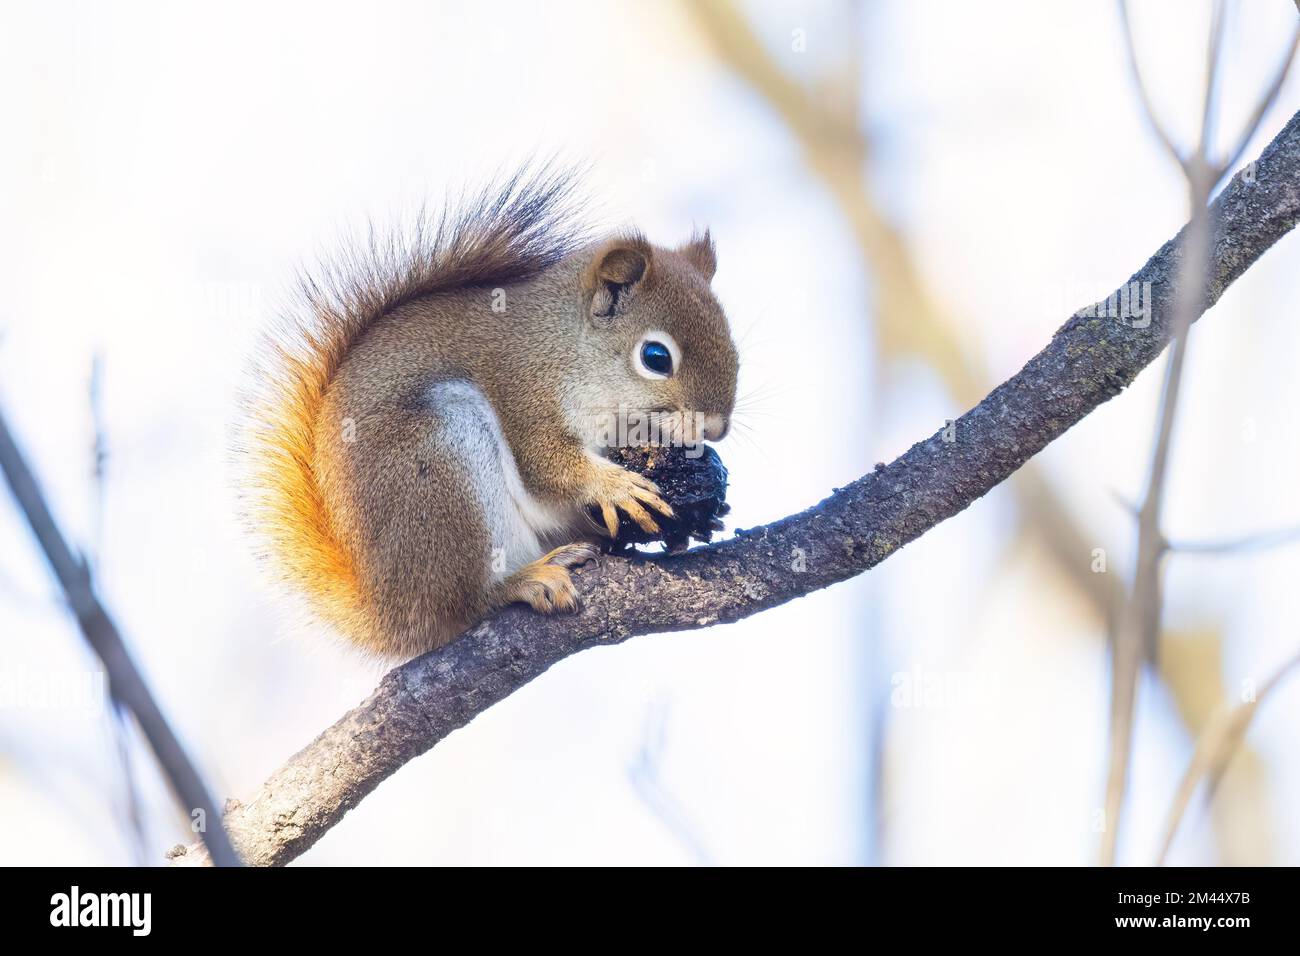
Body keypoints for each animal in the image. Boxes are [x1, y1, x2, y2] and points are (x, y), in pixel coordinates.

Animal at [245, 169, 739, 659]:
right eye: (656, 356)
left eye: (732, 344)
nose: (716, 430)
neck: (567, 347)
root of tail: (389, 611)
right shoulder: (525, 394)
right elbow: (547, 464)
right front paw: (615, 486)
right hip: (438, 461)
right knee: (466, 600)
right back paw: (523, 581)